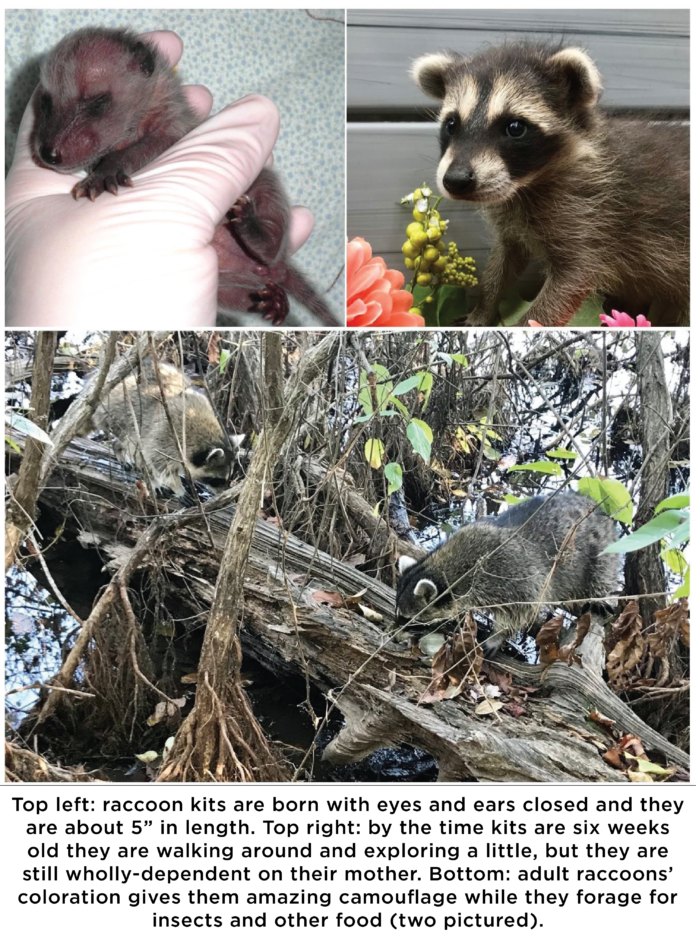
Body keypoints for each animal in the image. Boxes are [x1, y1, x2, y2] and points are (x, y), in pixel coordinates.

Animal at [81, 362, 243, 497]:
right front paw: (176, 485)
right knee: (135, 446)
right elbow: (156, 461)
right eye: (216, 480)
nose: (223, 494)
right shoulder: (165, 436)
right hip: (117, 413)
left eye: (228, 477)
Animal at [396, 492, 619, 655]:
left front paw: (498, 635)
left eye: (409, 619)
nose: (395, 634)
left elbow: (521, 610)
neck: (449, 566)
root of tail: (597, 507)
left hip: (602, 549)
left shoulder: (510, 575)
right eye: (400, 615)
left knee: (602, 572)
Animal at [412, 42, 690, 326]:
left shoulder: (595, 220)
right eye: (451, 124)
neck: (526, 184)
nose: (455, 180)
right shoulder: (515, 223)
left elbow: (571, 282)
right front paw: (482, 310)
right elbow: (502, 263)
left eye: (515, 127)